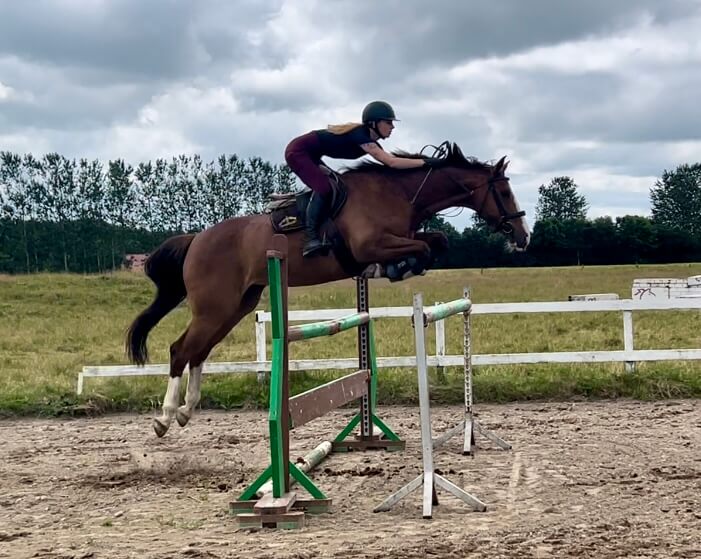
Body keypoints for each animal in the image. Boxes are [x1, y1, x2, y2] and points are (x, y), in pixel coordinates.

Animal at [126, 142, 530, 437]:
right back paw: (165, 417)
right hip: (215, 307)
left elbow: (436, 242)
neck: (401, 193)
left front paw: (400, 267)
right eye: (504, 191)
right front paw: (397, 268)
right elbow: (424, 247)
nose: (523, 236)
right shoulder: (371, 245)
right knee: (181, 350)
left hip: (236, 306)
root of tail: (196, 240)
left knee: (199, 351)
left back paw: (186, 411)